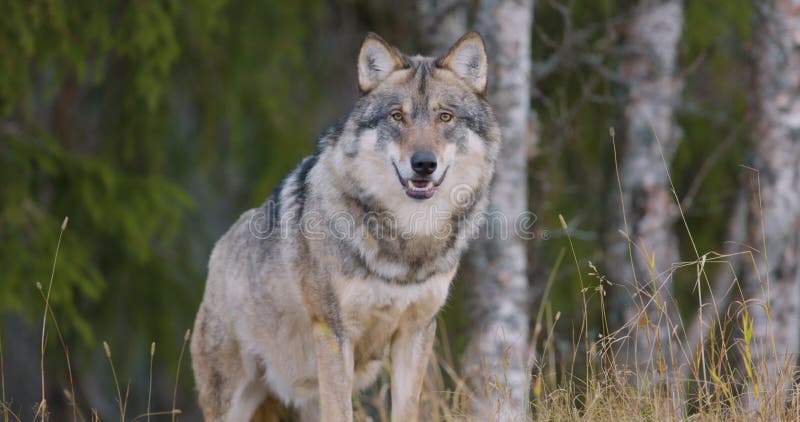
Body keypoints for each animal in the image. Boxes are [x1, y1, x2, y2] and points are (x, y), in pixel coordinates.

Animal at [190, 31, 501, 421]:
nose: (423, 164)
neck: (406, 242)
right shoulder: (335, 334)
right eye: (397, 116)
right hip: (234, 399)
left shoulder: (415, 333)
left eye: (445, 116)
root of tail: (218, 252)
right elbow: (341, 412)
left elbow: (406, 410)